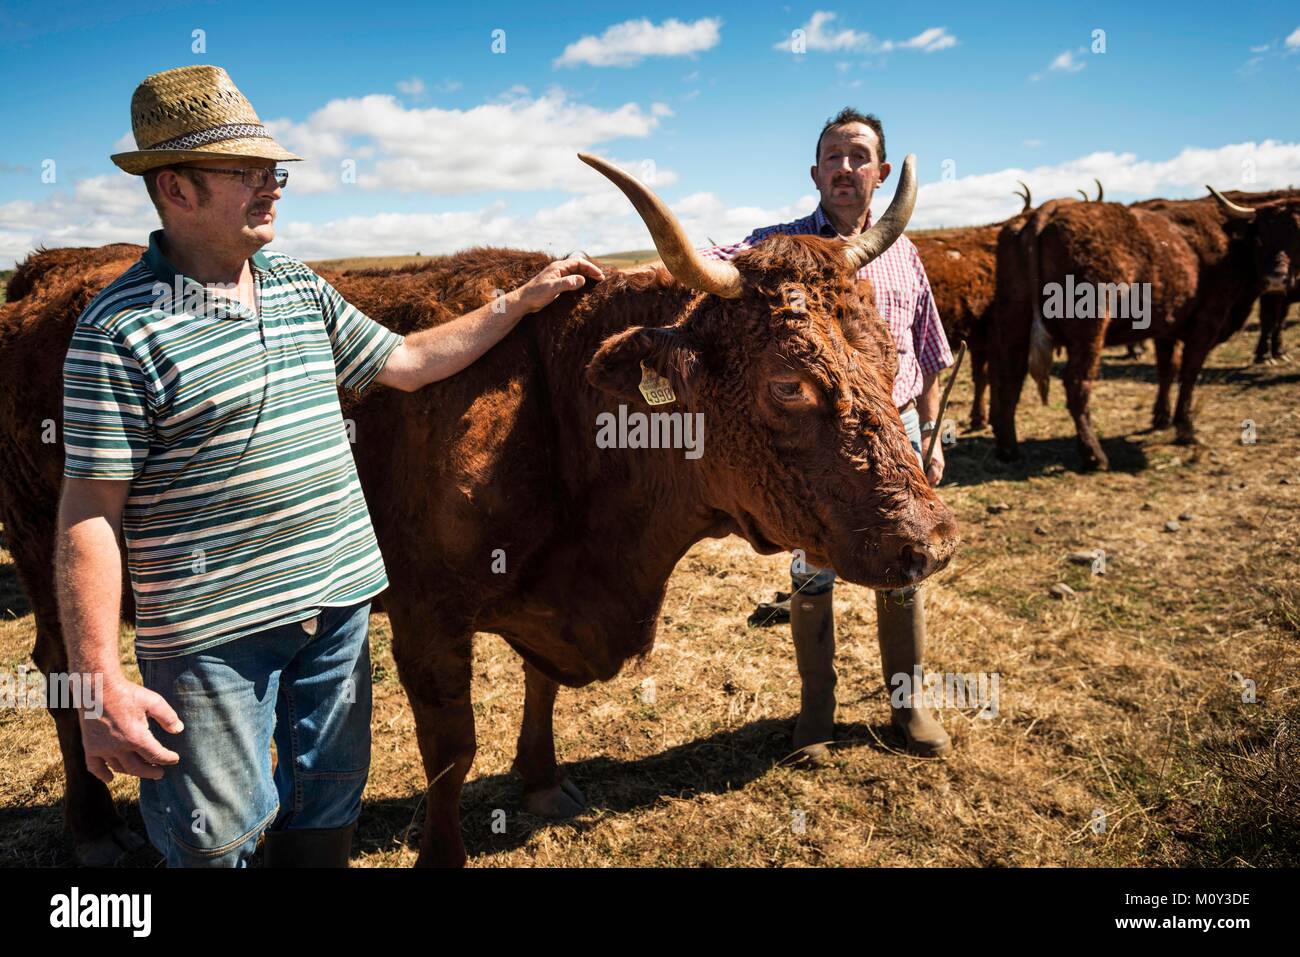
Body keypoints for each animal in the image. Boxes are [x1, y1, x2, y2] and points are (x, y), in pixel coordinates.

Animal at [987, 187, 1300, 470]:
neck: (1230, 243)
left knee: (1010, 379)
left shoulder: (1166, 330)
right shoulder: (1205, 325)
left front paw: (1160, 418)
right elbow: (1189, 374)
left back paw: (1008, 449)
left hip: (1015, 323)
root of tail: (1046, 211)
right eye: (1261, 237)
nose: (1276, 279)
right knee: (1076, 383)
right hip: (1090, 331)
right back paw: (1094, 455)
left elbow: (1167, 370)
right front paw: (1186, 427)